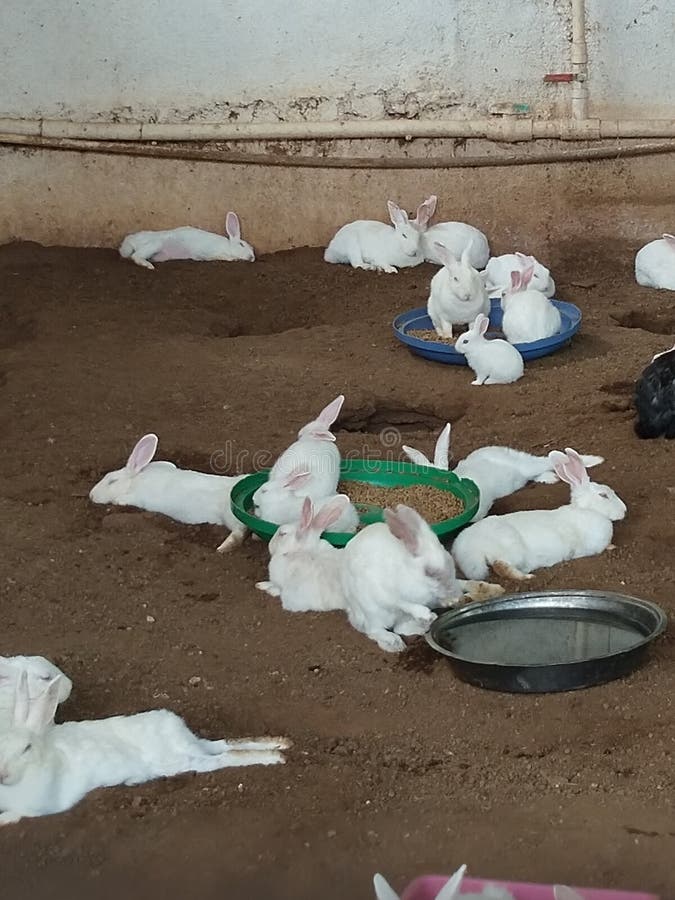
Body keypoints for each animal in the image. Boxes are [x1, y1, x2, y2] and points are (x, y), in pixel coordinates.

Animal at [0, 671, 291, 825]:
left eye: (26, 748)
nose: (2, 775)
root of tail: (180, 735)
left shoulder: (41, 806)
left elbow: (16, 814)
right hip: (193, 749)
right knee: (219, 745)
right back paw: (280, 743)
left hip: (180, 762)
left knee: (221, 758)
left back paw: (275, 757)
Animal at [89, 433, 249, 552]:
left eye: (111, 481)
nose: (91, 495)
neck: (133, 481)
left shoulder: (136, 498)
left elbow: (122, 500)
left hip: (230, 516)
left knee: (239, 532)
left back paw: (224, 547)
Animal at [119, 212, 255, 270]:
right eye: (241, 244)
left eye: (252, 248)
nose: (252, 257)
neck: (227, 246)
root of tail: (131, 240)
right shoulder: (207, 252)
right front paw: (232, 259)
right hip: (155, 245)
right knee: (136, 256)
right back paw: (148, 265)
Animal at [341, 505, 503, 653]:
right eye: (429, 572)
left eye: (450, 562)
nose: (453, 593)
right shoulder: (386, 593)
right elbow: (404, 603)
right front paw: (426, 614)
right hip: (373, 613)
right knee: (375, 630)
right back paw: (395, 643)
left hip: (398, 617)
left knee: (401, 627)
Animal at [451, 448, 627, 581]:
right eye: (603, 495)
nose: (624, 511)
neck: (587, 510)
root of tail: (465, 549)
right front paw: (612, 546)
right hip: (511, 548)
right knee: (501, 566)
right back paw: (528, 577)